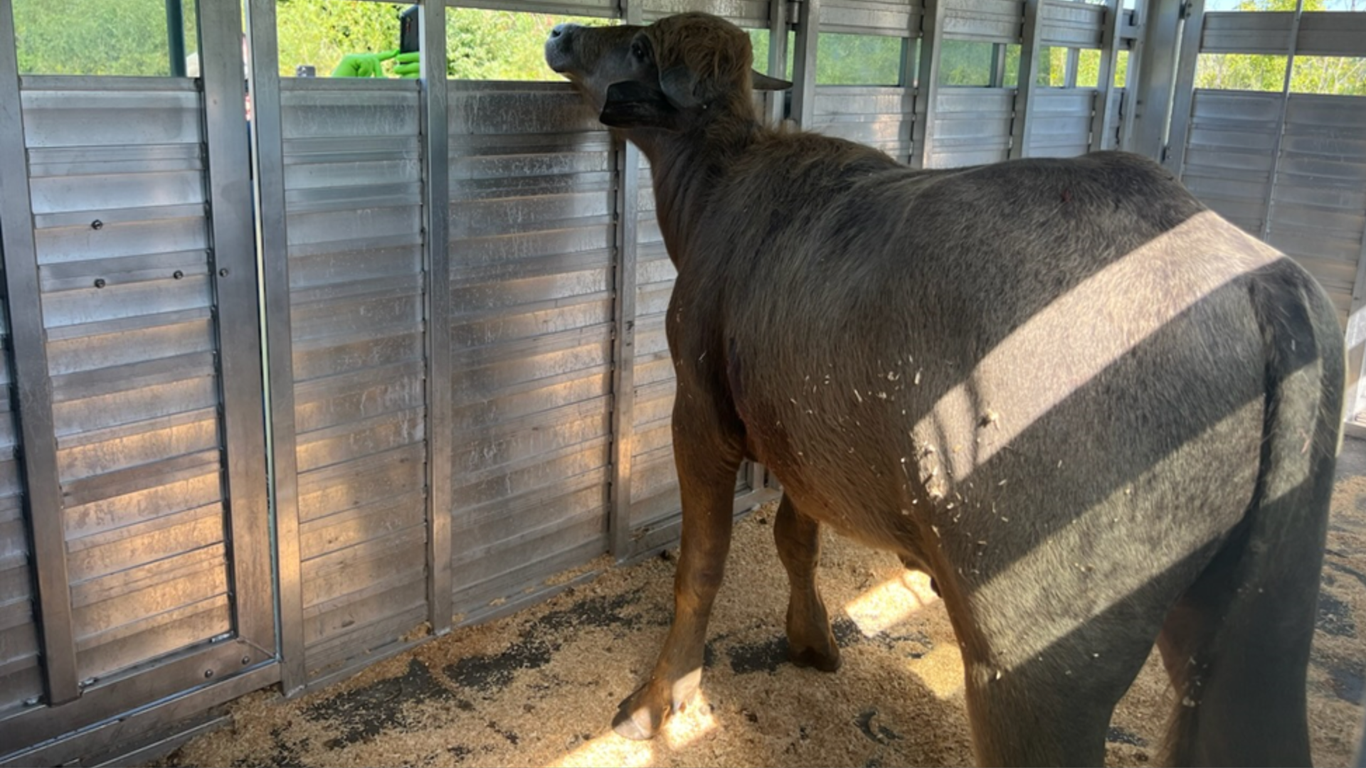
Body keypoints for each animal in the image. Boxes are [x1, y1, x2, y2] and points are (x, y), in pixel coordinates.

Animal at [545, 13, 1343, 765]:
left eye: (641, 43)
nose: (561, 30)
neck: (721, 185)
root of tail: (1265, 283)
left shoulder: (702, 416)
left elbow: (700, 568)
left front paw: (660, 698)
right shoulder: (804, 439)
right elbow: (795, 537)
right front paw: (812, 640)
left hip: (1033, 667)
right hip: (1251, 638)